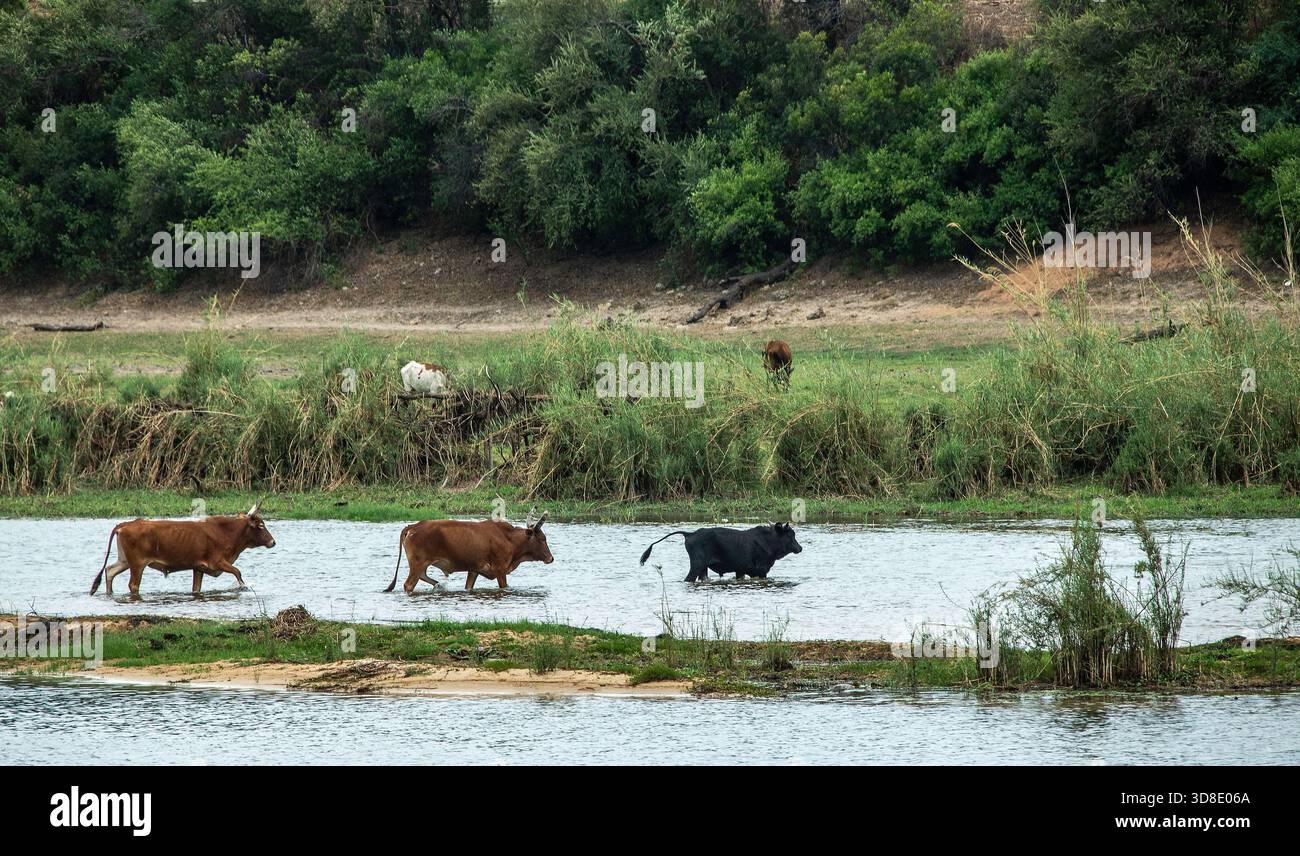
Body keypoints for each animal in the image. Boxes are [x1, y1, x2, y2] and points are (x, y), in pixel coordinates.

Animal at [89, 504, 276, 596]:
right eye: (261, 526)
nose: (273, 542)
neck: (227, 532)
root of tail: (125, 524)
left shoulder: (198, 567)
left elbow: (196, 588)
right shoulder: (217, 562)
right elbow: (238, 572)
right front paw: (243, 587)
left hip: (124, 560)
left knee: (110, 571)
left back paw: (109, 594)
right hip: (137, 564)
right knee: (133, 585)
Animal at [385, 513, 554, 593]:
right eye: (542, 539)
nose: (551, 558)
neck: (509, 538)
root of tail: (413, 526)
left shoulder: (474, 570)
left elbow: (468, 587)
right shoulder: (500, 570)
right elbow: (504, 587)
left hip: (421, 565)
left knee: (423, 576)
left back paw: (439, 585)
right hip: (417, 563)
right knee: (409, 584)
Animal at [639, 523, 802, 582]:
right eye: (790, 535)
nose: (800, 548)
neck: (768, 542)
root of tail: (690, 534)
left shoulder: (740, 570)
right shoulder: (761, 571)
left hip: (703, 569)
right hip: (697, 565)